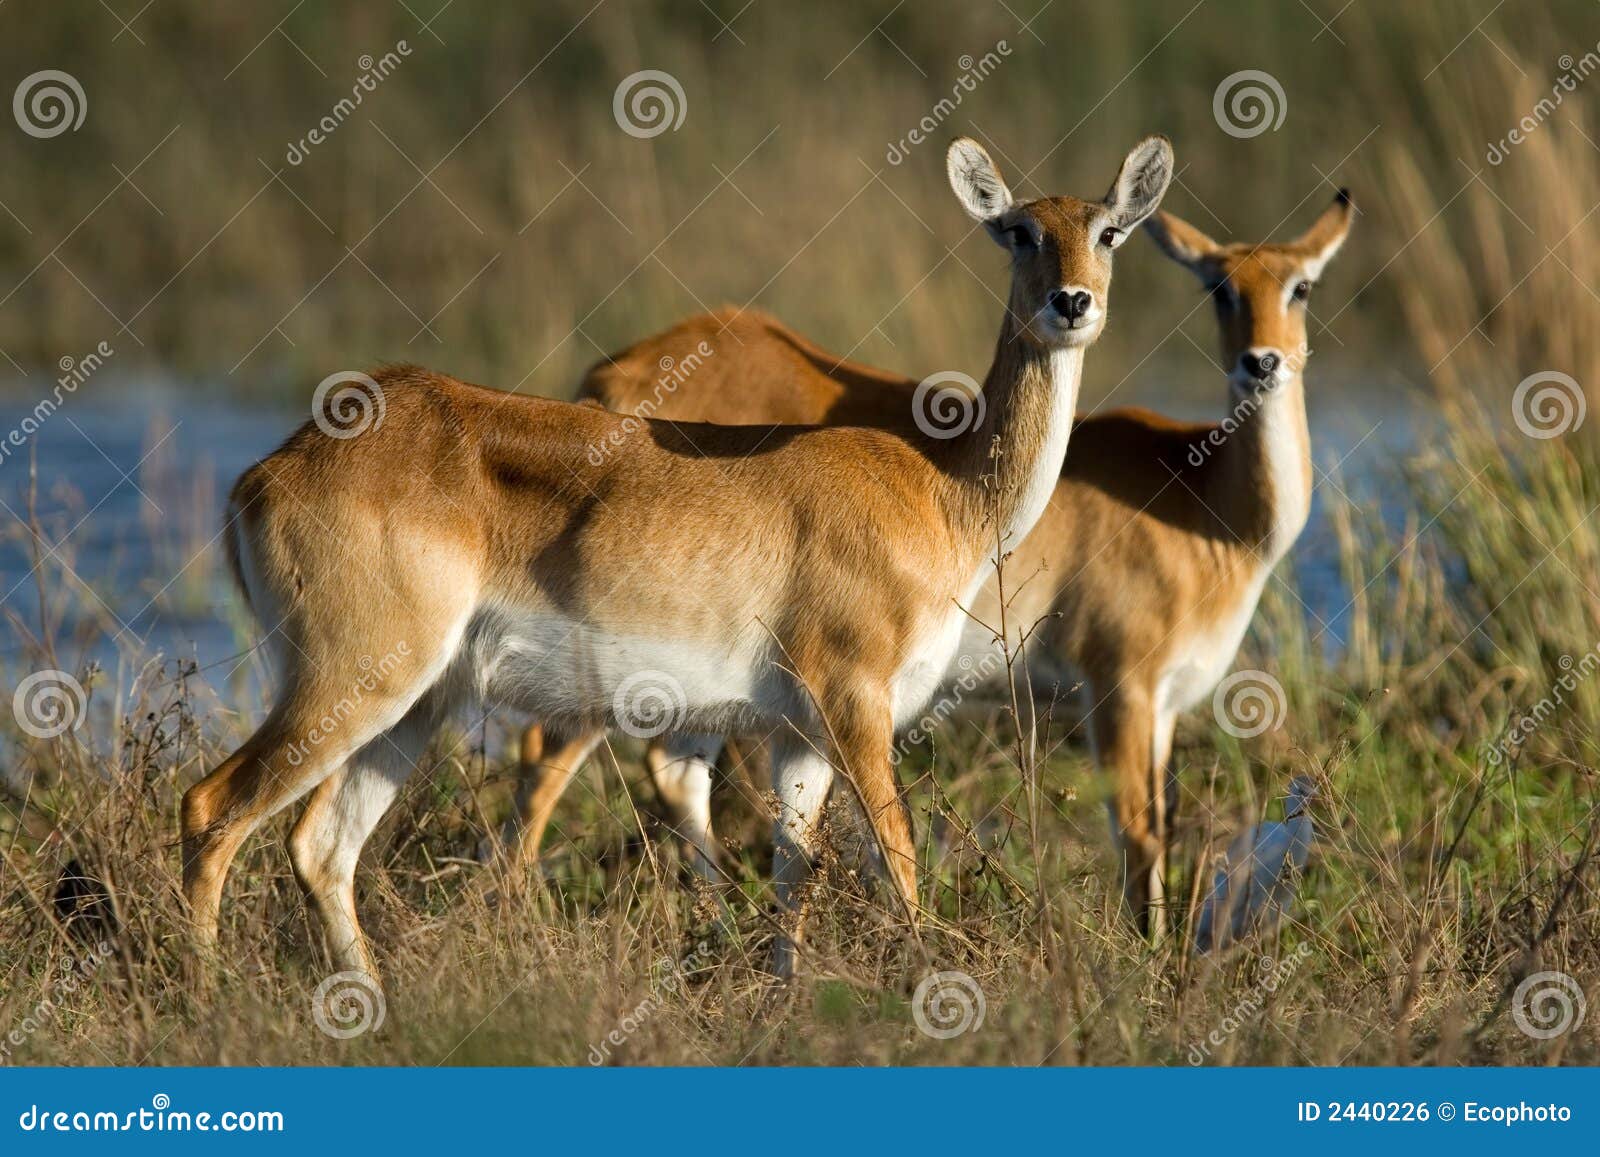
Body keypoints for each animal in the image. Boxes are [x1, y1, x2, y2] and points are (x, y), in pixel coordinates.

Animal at [181, 135, 1175, 981]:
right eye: (1019, 231)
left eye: (1108, 230)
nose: (1072, 302)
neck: (943, 493)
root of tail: (265, 473)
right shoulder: (855, 703)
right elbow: (898, 866)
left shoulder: (796, 732)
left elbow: (794, 877)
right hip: (350, 680)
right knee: (213, 808)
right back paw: (208, 993)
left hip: (420, 702)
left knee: (320, 844)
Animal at [501, 190, 1353, 937]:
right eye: (1220, 287)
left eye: (1302, 285)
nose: (1263, 361)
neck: (1205, 502)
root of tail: (612, 377)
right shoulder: (1120, 685)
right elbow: (1138, 831)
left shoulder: (1167, 706)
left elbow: (1160, 825)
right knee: (549, 756)